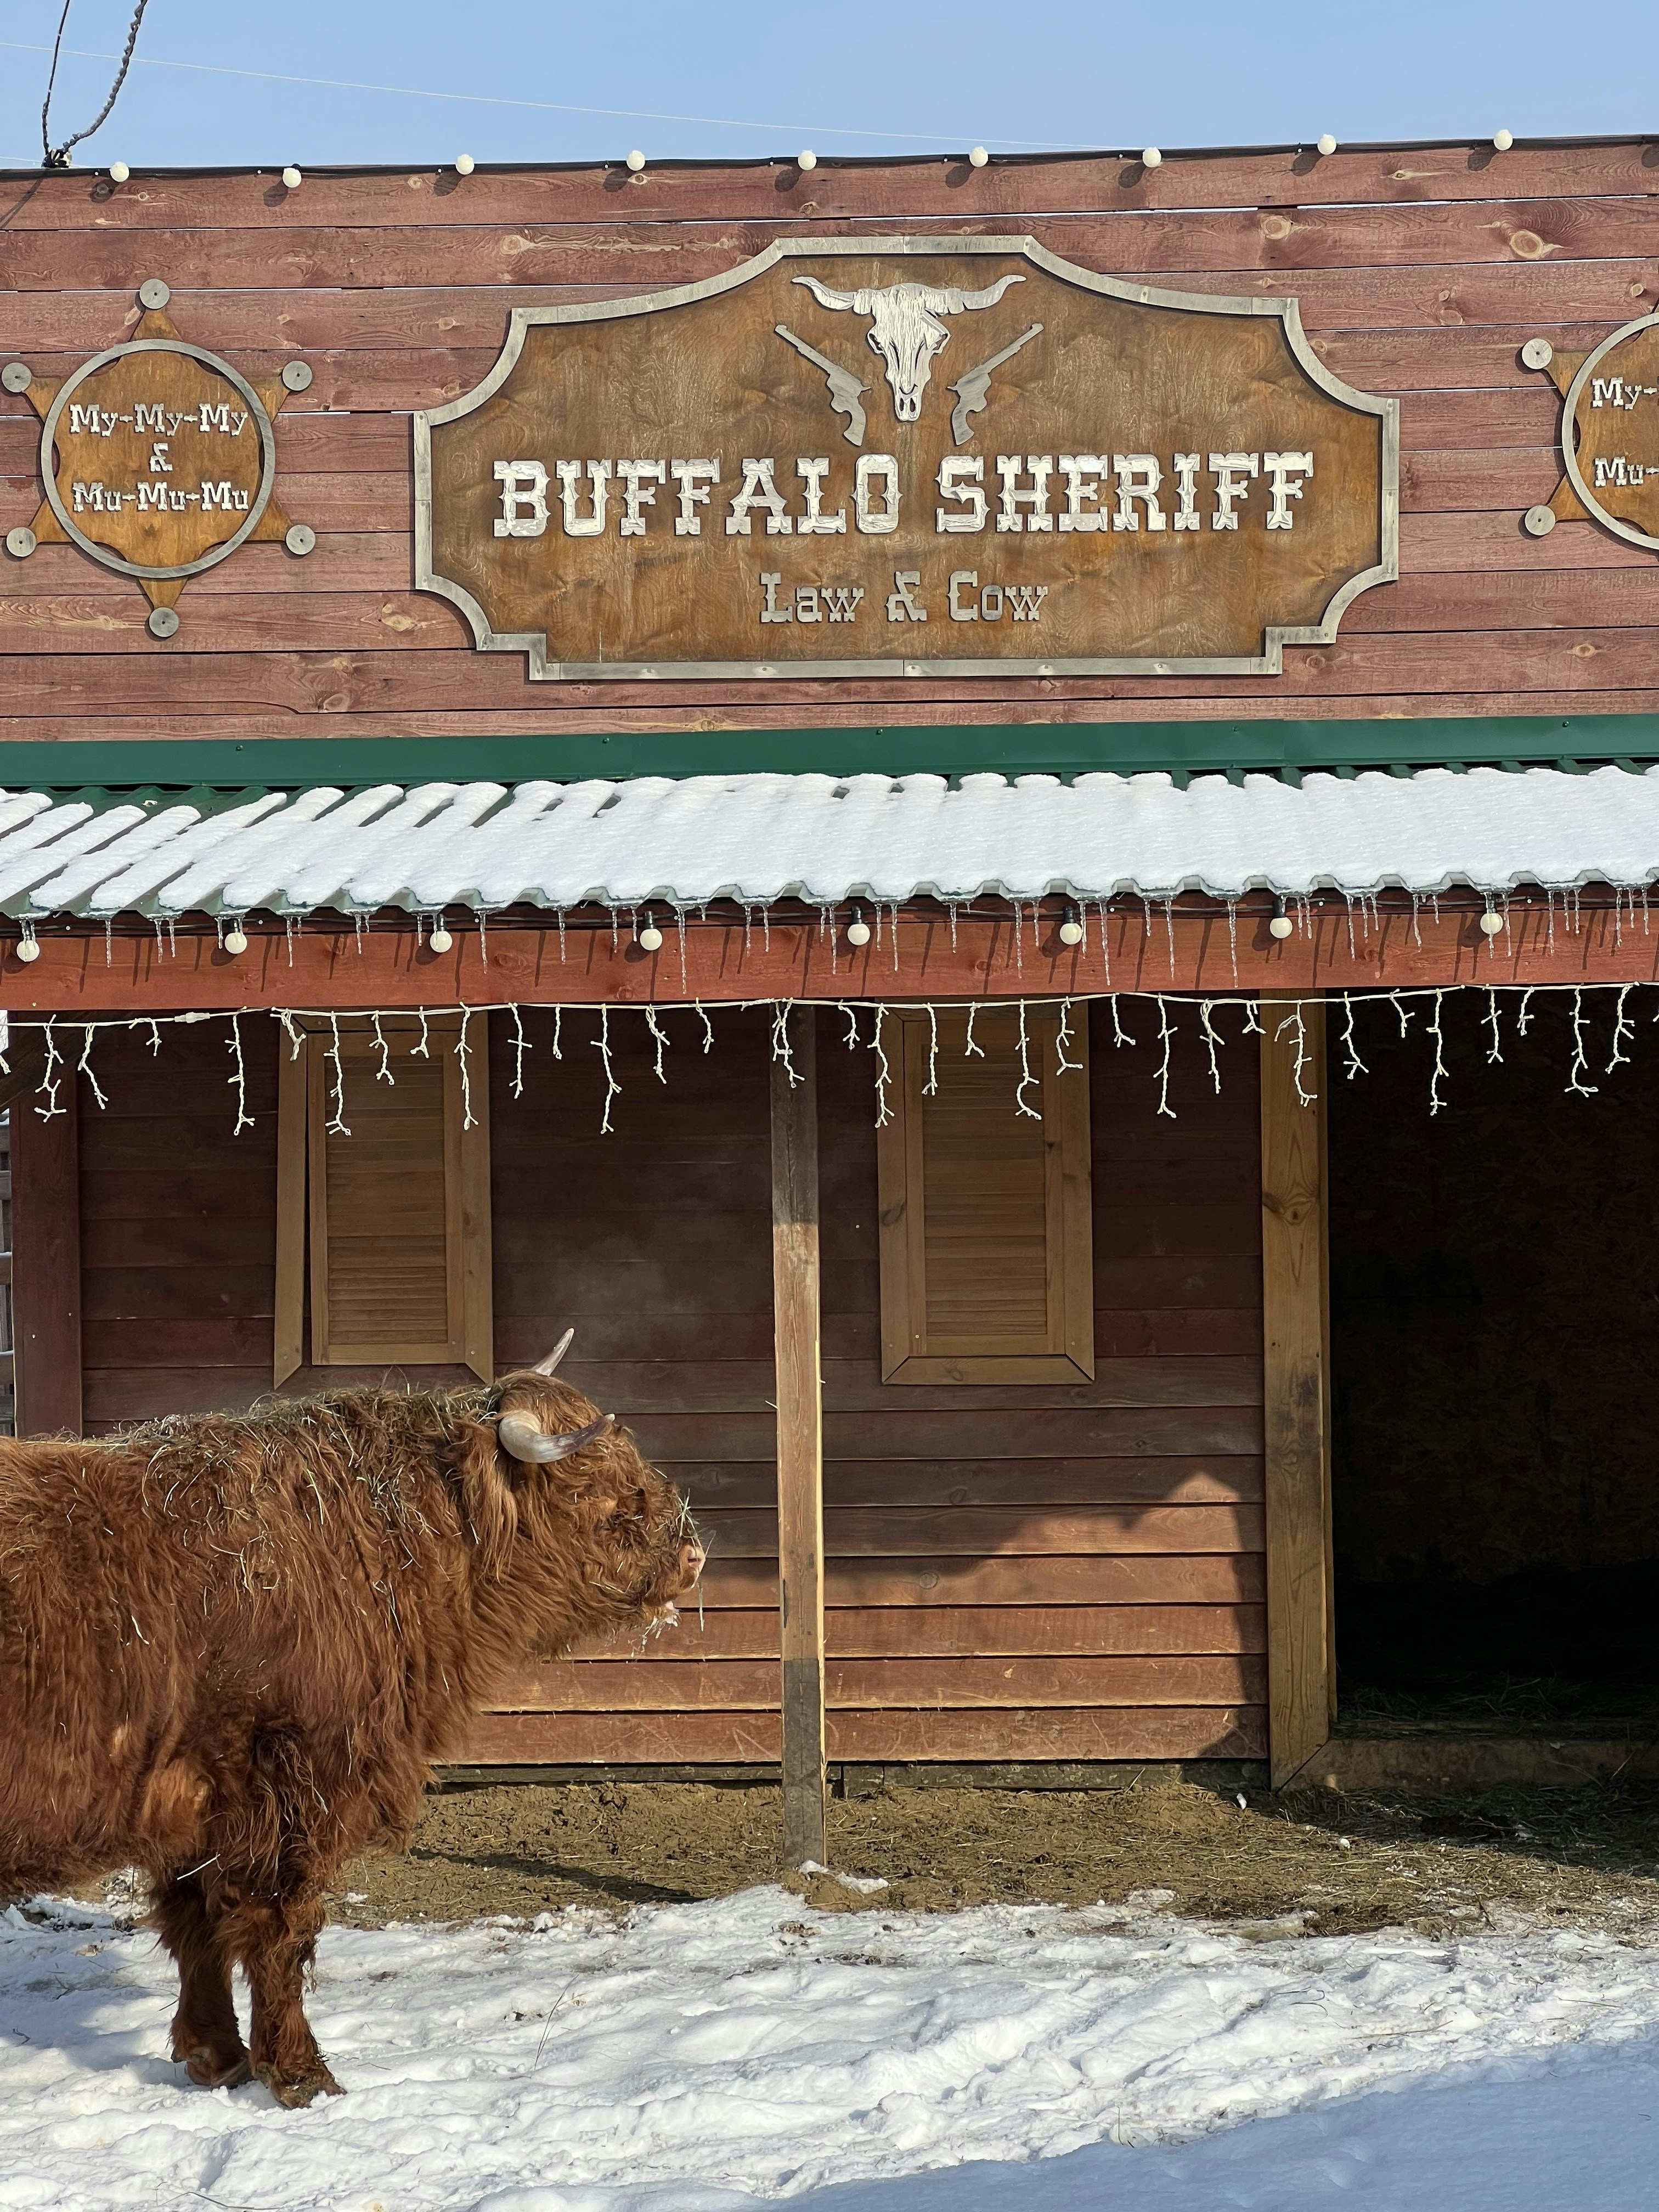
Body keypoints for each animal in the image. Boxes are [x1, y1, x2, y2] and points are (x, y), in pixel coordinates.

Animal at [0, 1333, 704, 2108]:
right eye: (594, 1485)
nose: (694, 1553)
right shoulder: (289, 1782)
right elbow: (280, 1928)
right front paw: (301, 2072)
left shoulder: (193, 1800)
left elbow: (195, 1923)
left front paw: (218, 2055)